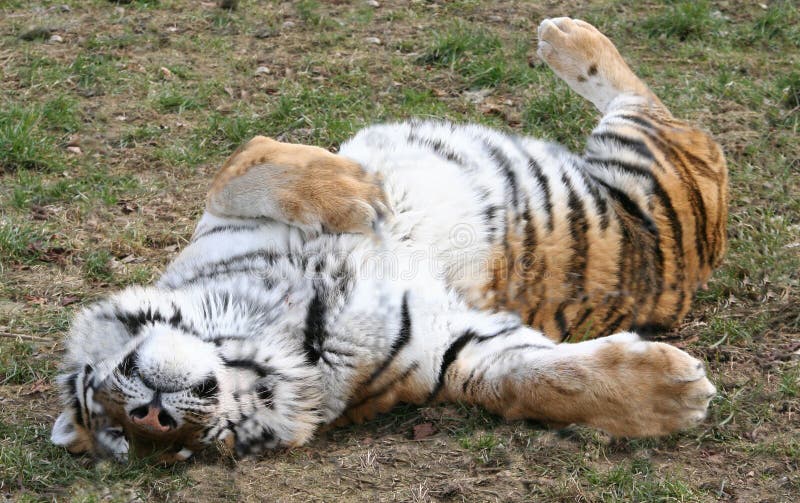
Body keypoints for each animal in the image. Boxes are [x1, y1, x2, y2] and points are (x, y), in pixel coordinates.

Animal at [51, 18, 726, 462]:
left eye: (98, 395)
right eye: (131, 438)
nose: (152, 419)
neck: (277, 332)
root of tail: (698, 266)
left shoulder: (224, 206)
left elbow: (250, 165)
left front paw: (356, 193)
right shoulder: (451, 351)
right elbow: (536, 380)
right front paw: (670, 396)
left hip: (645, 151)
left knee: (646, 97)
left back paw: (565, 35)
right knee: (667, 115)